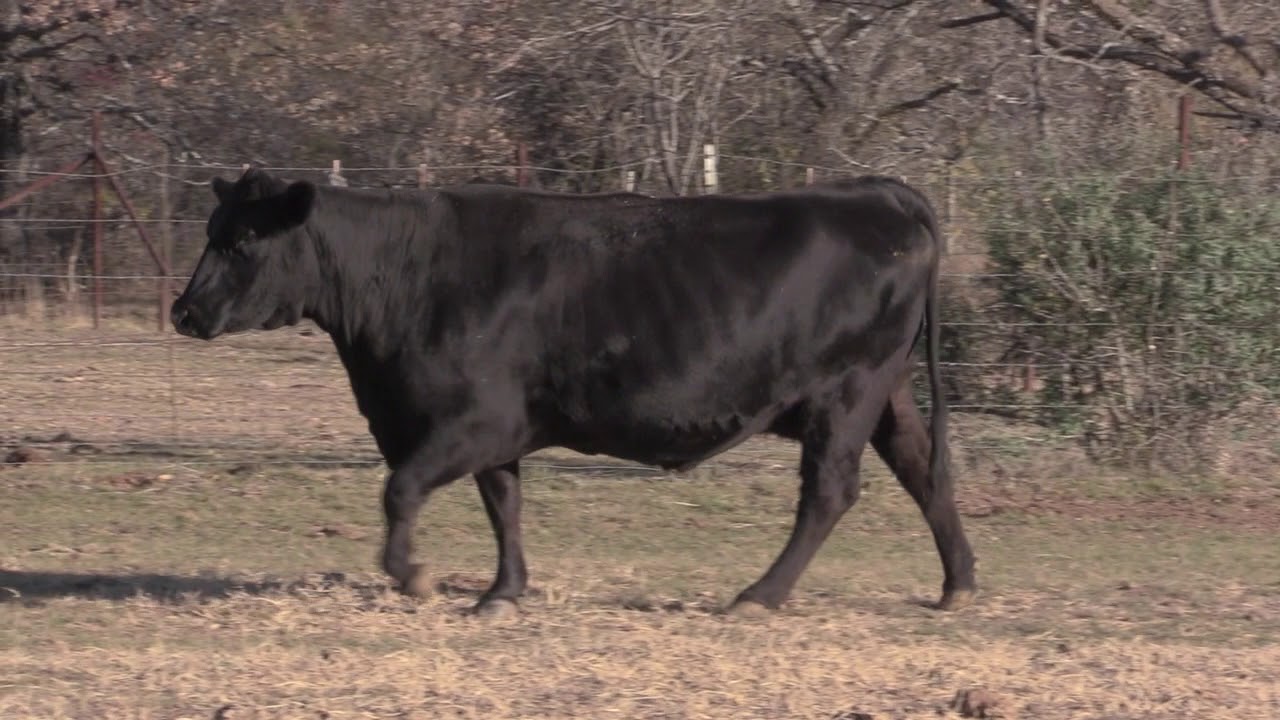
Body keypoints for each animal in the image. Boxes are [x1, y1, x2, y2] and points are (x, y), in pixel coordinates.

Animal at [170, 167, 977, 617]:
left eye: (243, 241)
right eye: (212, 229)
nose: (184, 311)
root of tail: (877, 192)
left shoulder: (469, 420)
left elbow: (401, 491)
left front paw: (417, 577)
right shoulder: (496, 429)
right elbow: (504, 504)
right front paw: (501, 593)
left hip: (846, 393)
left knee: (830, 492)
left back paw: (759, 596)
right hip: (886, 395)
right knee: (925, 471)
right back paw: (958, 584)